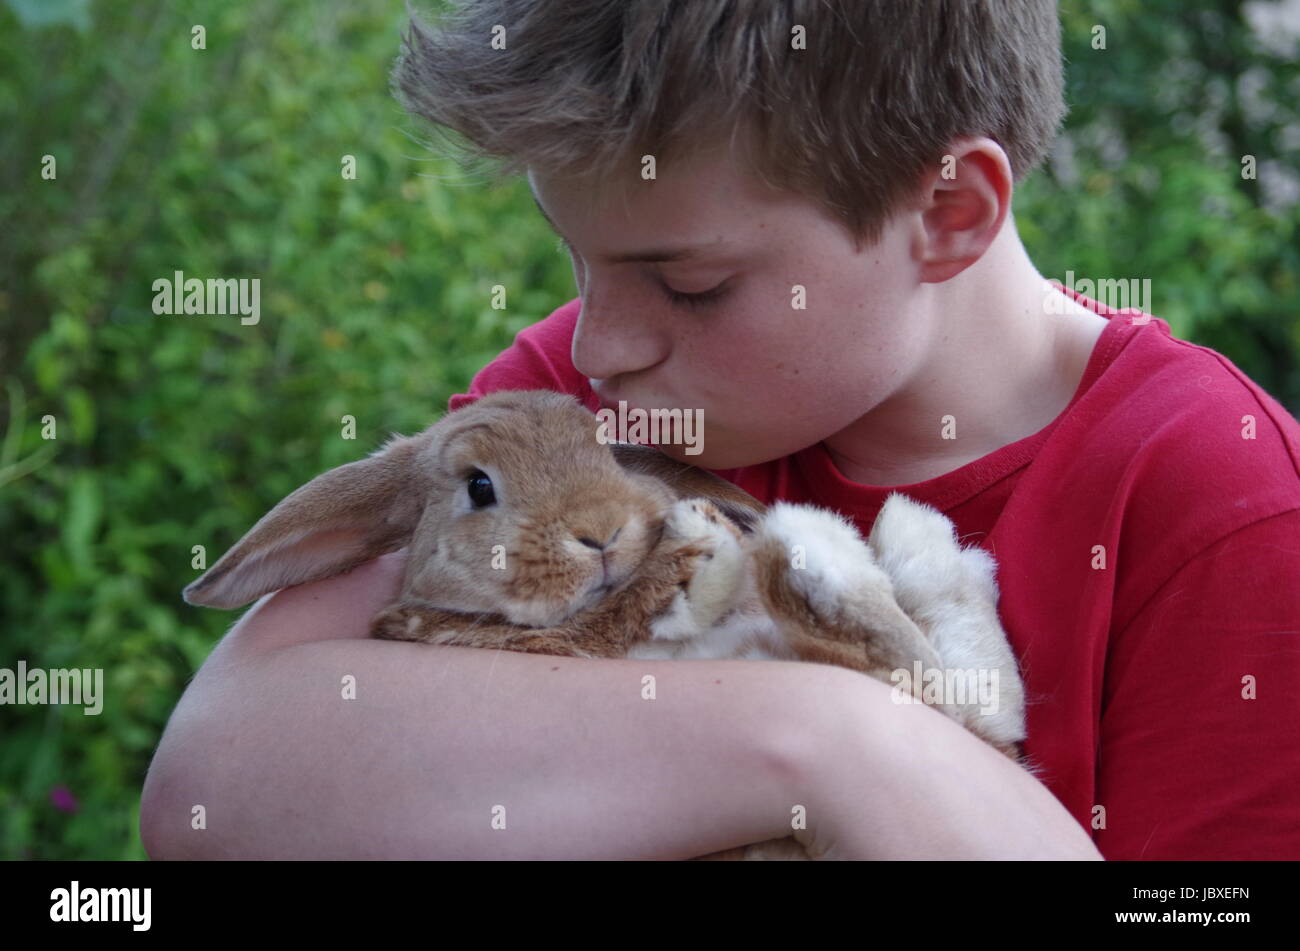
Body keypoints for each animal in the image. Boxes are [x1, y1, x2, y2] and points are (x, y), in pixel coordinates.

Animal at [183, 388, 1027, 860]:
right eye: (478, 486)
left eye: (607, 452)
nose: (602, 530)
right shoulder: (575, 636)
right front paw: (703, 547)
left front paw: (701, 541)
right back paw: (854, 542)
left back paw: (898, 539)